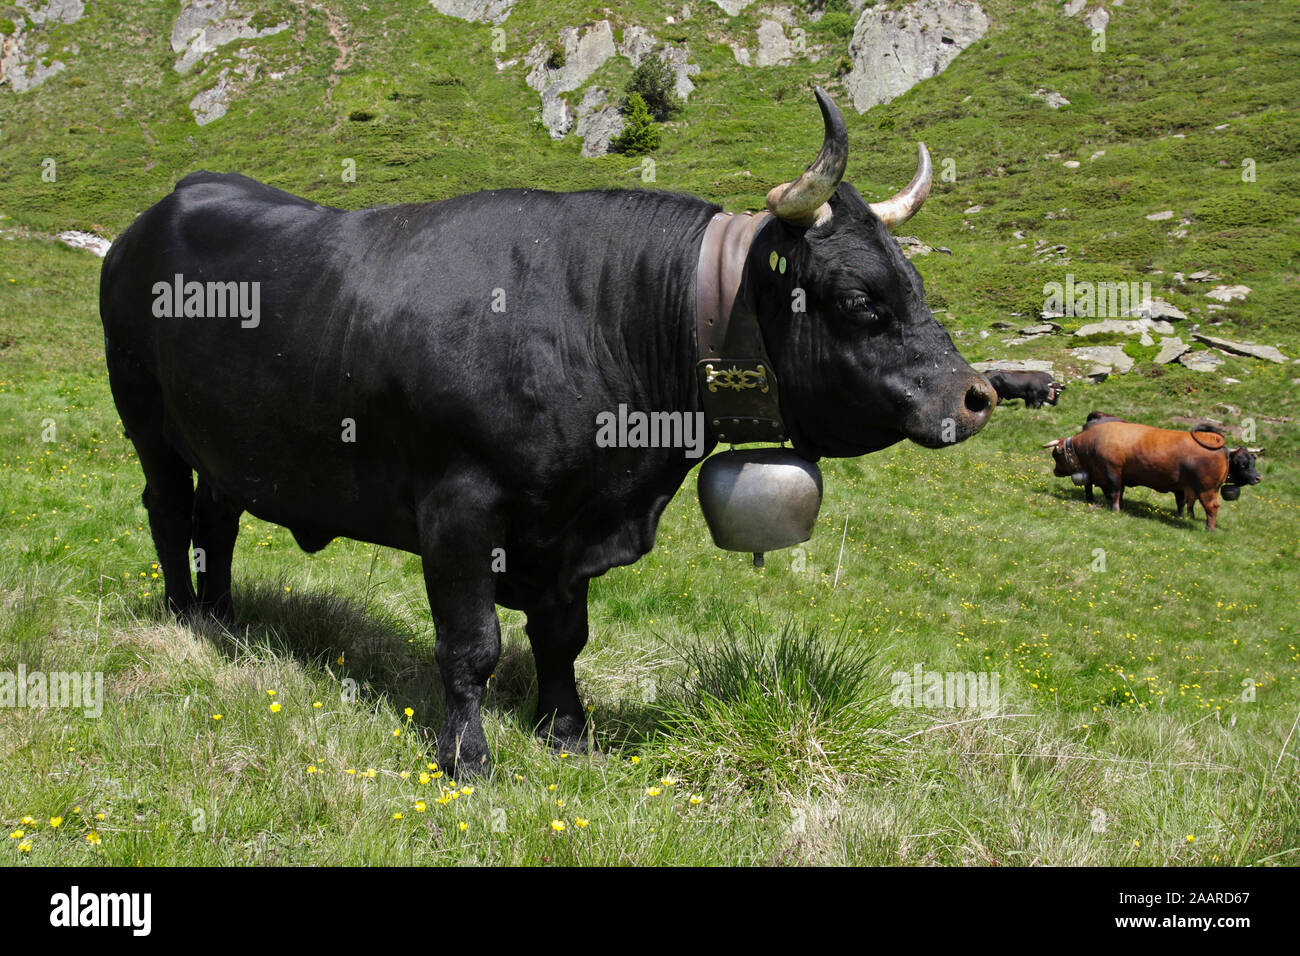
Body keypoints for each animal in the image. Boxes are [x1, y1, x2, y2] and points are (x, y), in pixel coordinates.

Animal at [99, 88, 995, 775]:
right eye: (860, 300)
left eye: (915, 279)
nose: (977, 395)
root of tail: (158, 211)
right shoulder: (459, 511)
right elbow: (471, 644)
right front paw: (468, 757)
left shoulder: (570, 527)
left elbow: (565, 637)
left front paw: (567, 733)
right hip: (148, 425)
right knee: (169, 511)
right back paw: (184, 617)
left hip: (228, 439)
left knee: (218, 516)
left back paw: (224, 620)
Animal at [1043, 421, 1246, 529]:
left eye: (1055, 454)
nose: (1055, 471)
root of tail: (1221, 446)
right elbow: (1119, 493)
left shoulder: (1112, 472)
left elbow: (1114, 492)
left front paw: (1115, 509)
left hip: (1206, 489)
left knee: (1212, 507)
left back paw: (1209, 529)